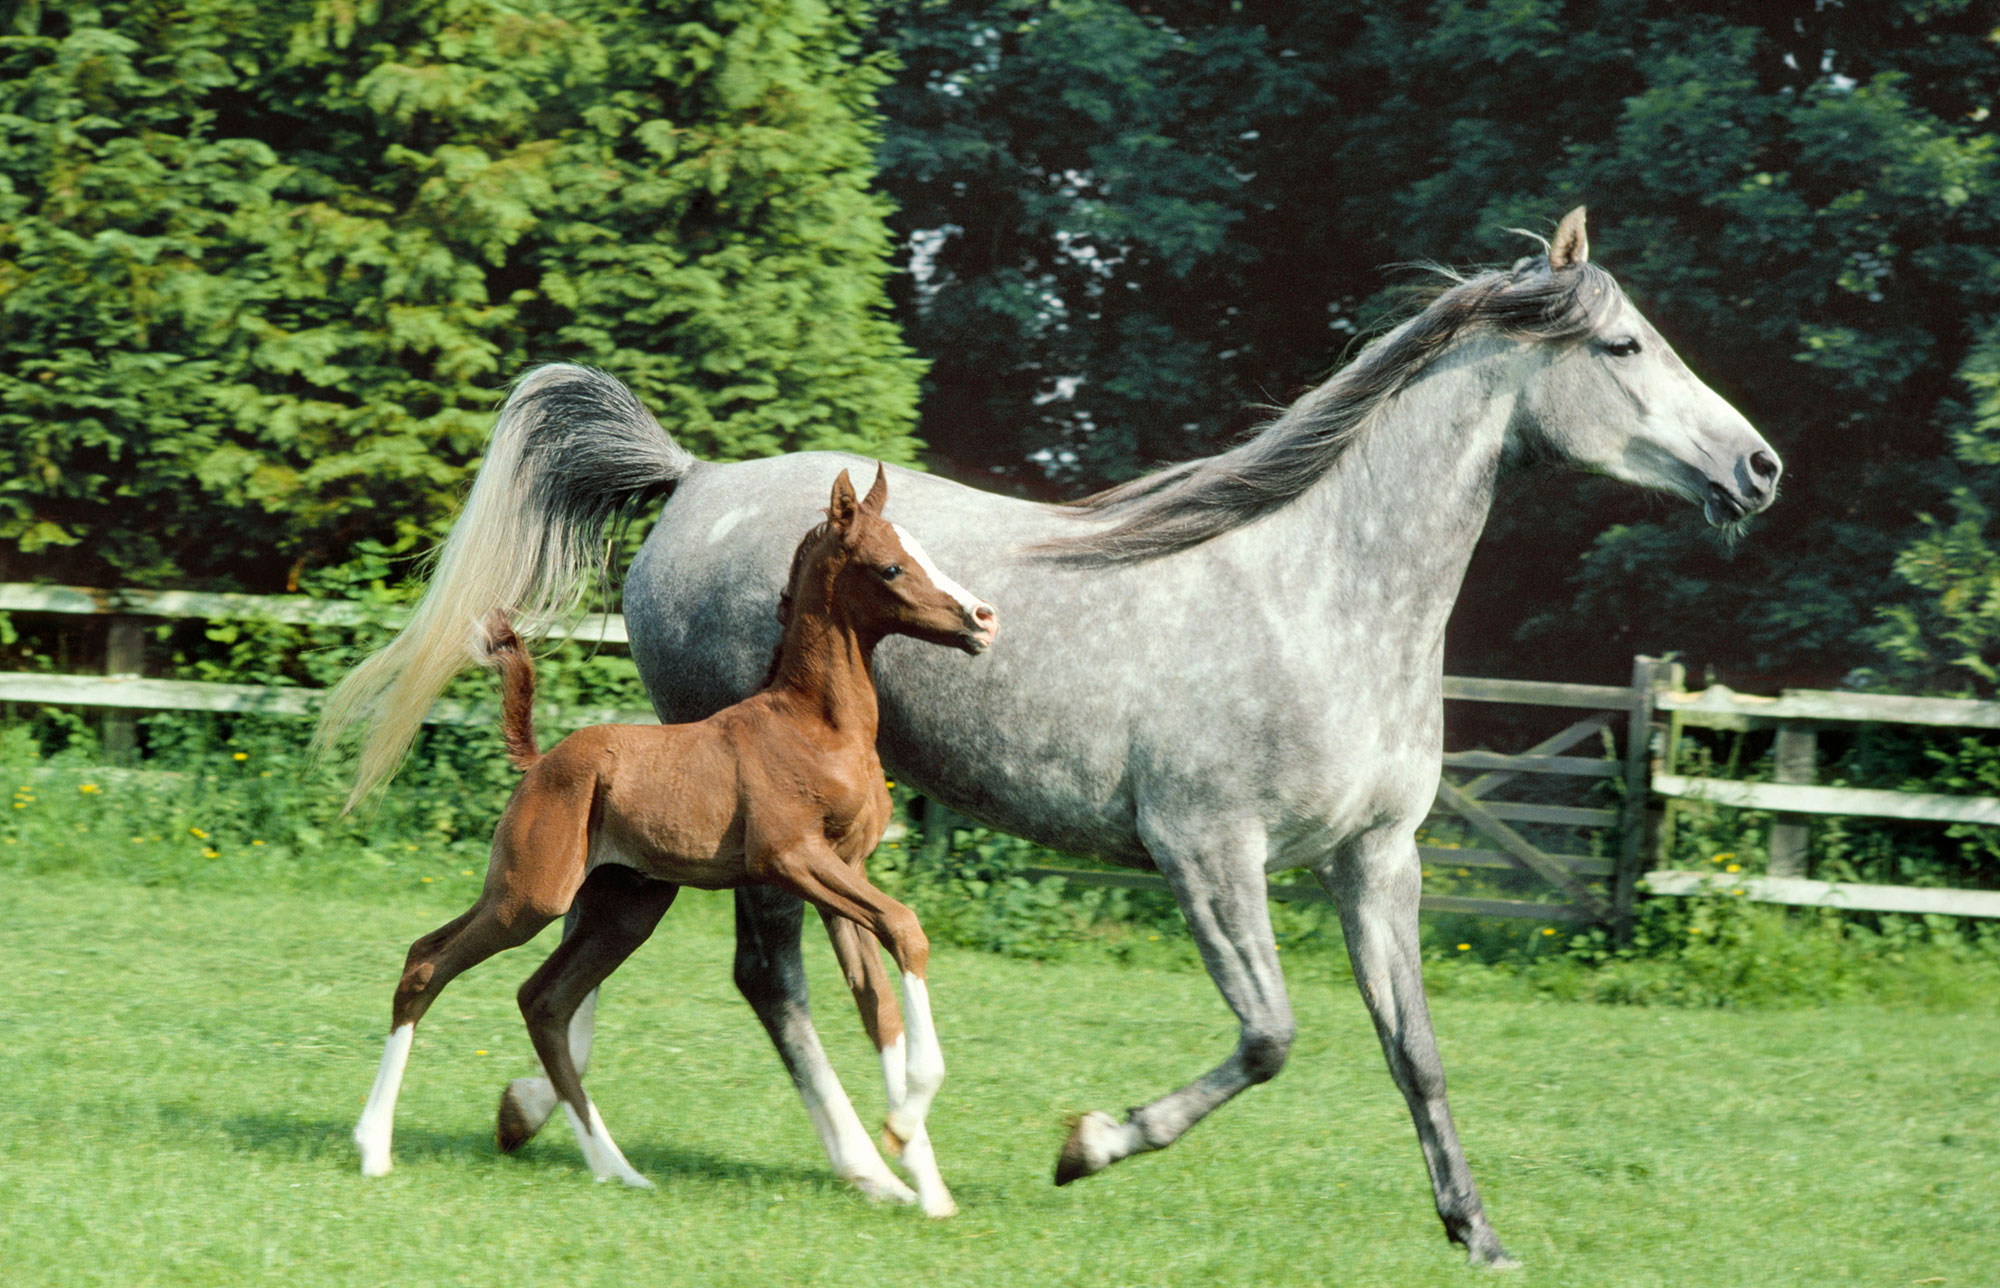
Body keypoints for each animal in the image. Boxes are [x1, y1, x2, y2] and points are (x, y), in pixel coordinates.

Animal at [349, 467, 996, 1219]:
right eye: (891, 565)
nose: (984, 619)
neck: (819, 728)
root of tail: (539, 762)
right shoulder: (791, 859)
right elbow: (907, 929)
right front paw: (907, 1134)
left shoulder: (845, 871)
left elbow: (879, 1006)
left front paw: (921, 1180)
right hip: (530, 894)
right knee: (427, 963)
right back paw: (374, 1147)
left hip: (625, 908)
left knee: (543, 1000)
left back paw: (615, 1169)